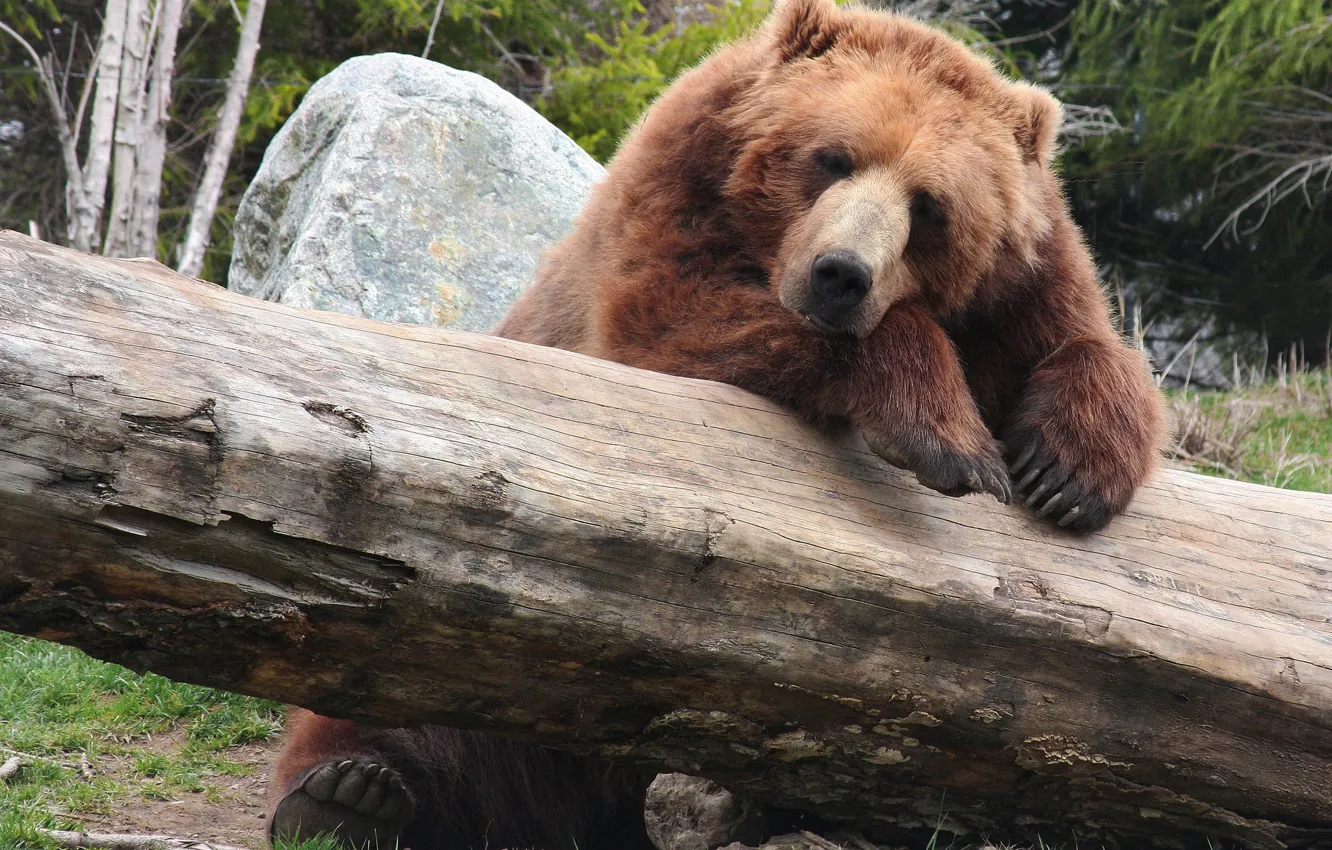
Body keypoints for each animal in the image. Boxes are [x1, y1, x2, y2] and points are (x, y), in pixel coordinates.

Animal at [266, 1, 1166, 847]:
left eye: (930, 207)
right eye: (832, 157)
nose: (841, 275)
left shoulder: (1023, 291)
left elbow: (1089, 342)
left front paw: (1068, 468)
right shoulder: (674, 205)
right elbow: (679, 324)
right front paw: (949, 436)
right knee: (418, 698)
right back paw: (350, 791)